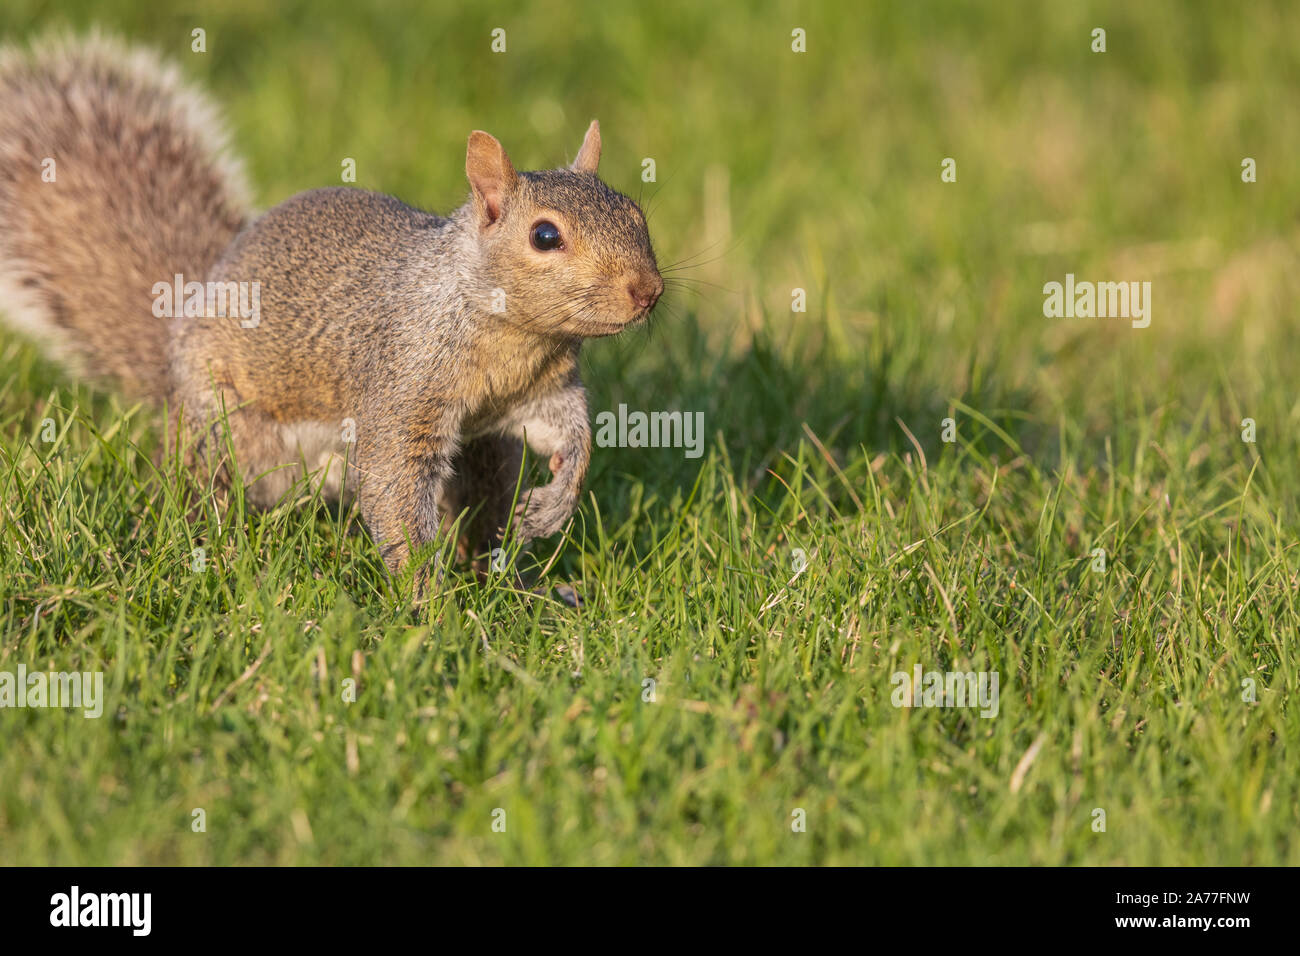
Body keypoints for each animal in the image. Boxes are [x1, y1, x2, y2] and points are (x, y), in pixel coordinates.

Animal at [0, 34, 663, 581]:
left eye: (636, 212)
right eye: (545, 236)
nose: (648, 290)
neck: (512, 335)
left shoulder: (539, 390)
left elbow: (569, 432)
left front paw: (555, 502)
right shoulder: (402, 384)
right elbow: (395, 483)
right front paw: (426, 604)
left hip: (479, 453)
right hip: (228, 427)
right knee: (206, 481)